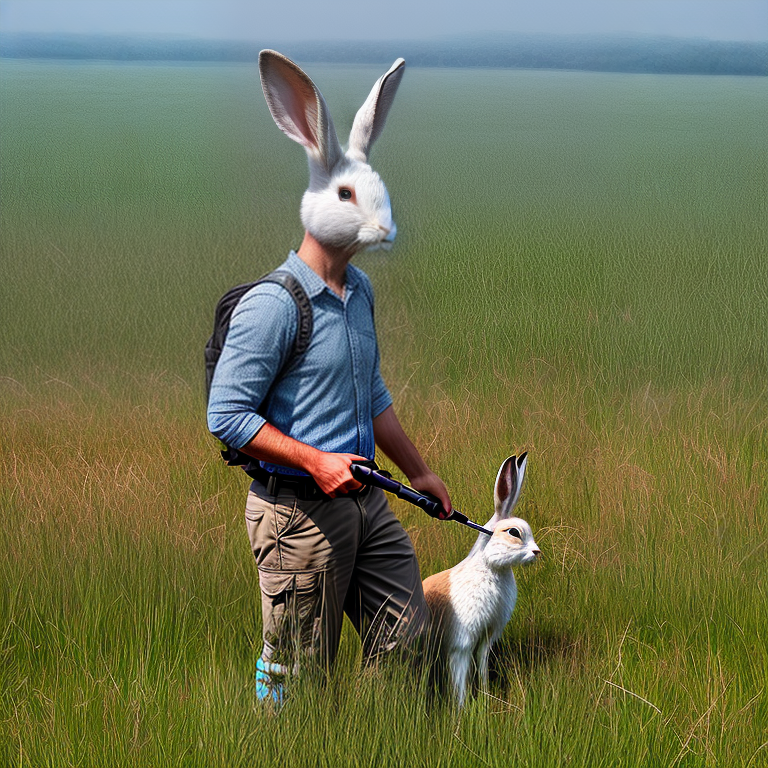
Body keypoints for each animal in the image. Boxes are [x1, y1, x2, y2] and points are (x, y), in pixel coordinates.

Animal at [422, 454, 540, 707]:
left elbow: (482, 666)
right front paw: (462, 708)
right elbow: (460, 676)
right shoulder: (461, 643)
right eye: (514, 532)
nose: (537, 552)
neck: (491, 567)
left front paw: (485, 698)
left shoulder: (486, 639)